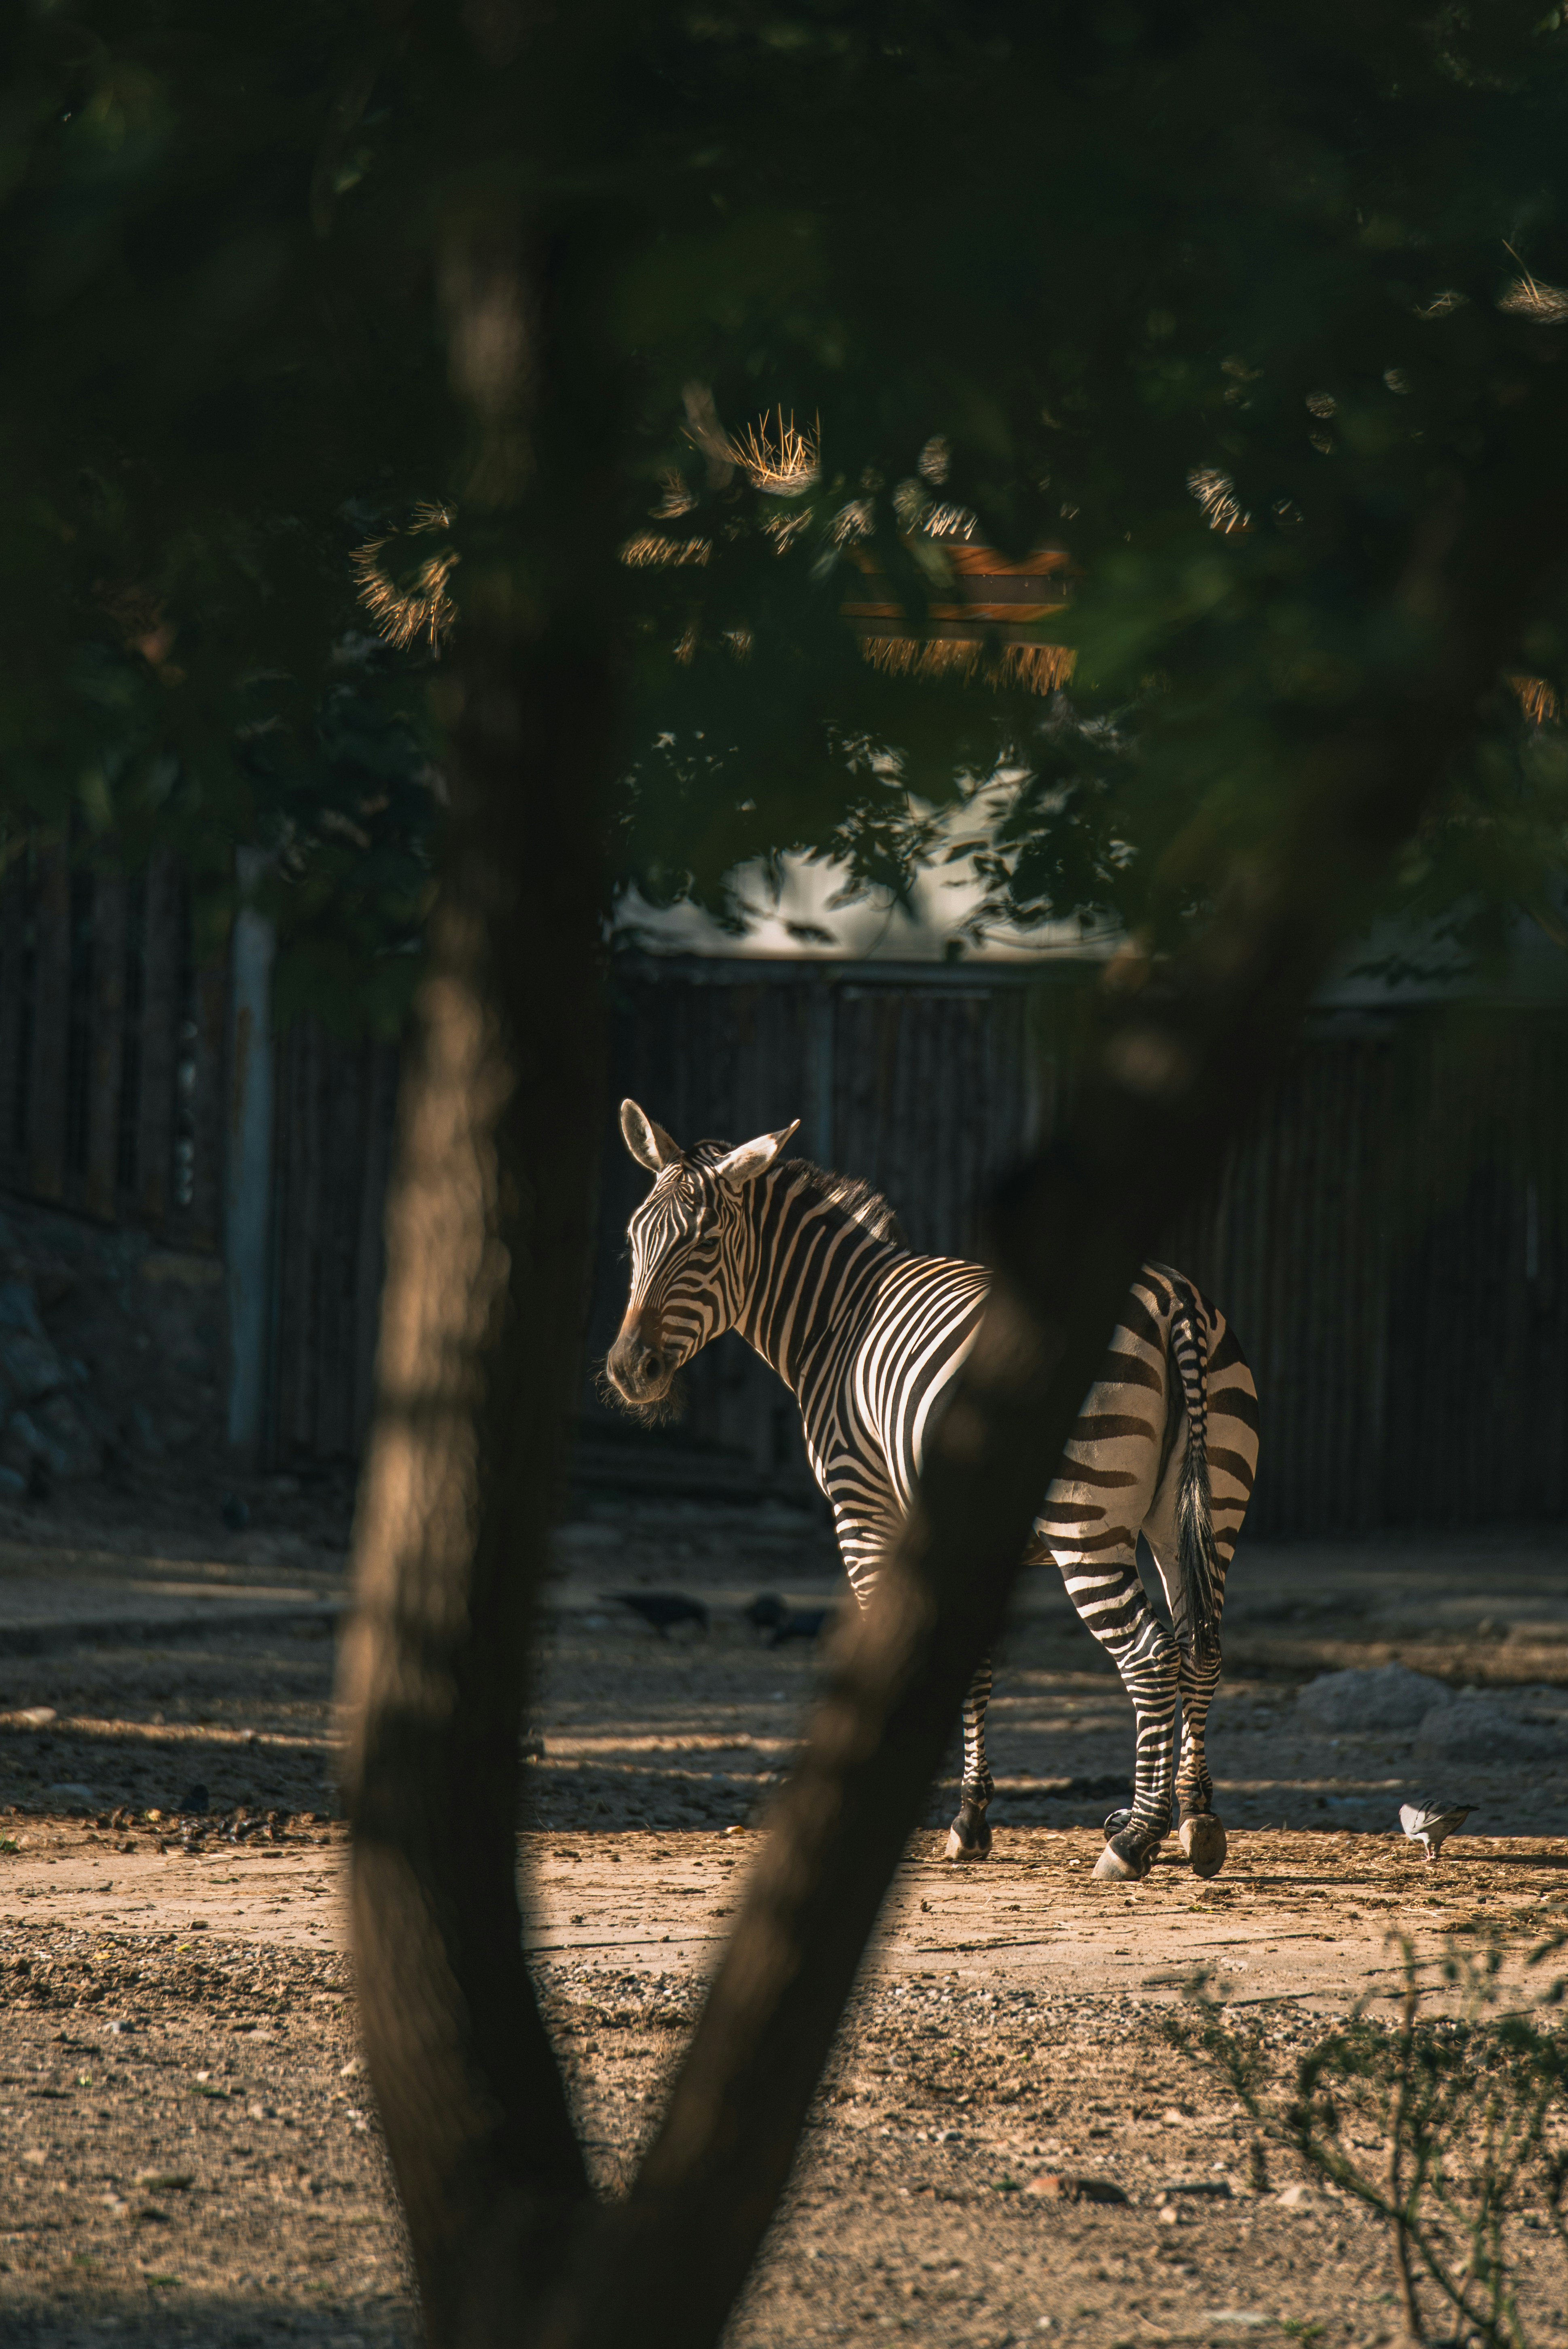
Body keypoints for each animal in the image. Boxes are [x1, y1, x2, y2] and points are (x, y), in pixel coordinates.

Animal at [604, 1100, 1260, 1883]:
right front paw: (971, 1817)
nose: (628, 1370)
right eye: (634, 1237)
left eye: (703, 1244)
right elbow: (973, 1665)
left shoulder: (863, 1509)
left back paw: (1134, 1837)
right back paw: (1198, 1822)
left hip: (1087, 1522)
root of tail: (1174, 1300)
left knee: (1151, 1656)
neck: (838, 1318)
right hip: (1200, 1516)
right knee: (1200, 1649)